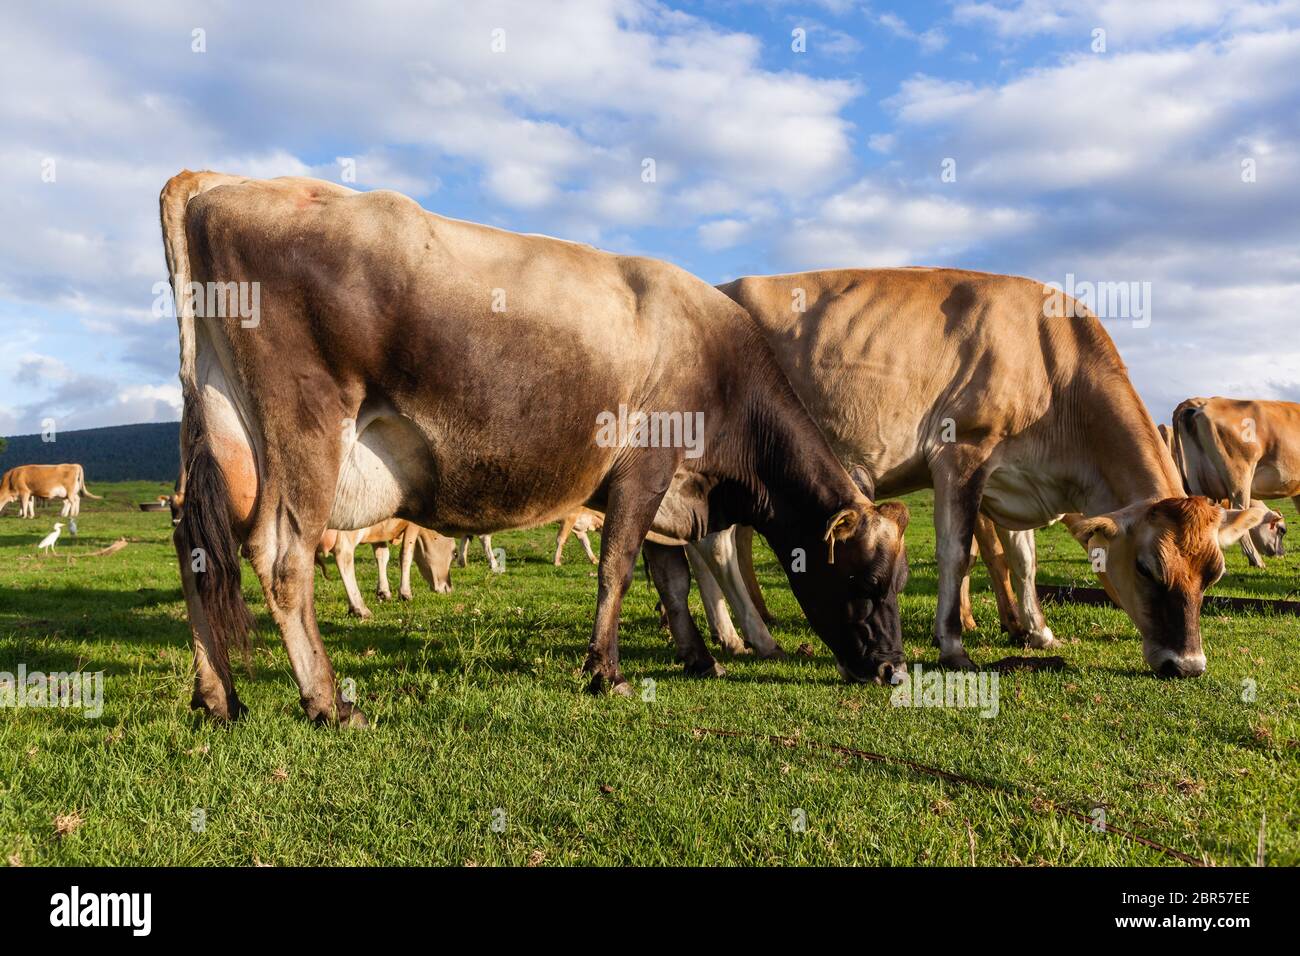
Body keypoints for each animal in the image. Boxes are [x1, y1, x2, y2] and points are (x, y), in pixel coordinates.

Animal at [317, 519, 455, 618]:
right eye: (455, 553)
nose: (448, 588)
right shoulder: (412, 524)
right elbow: (406, 554)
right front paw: (405, 594)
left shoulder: (379, 530)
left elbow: (382, 555)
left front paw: (383, 592)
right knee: (344, 555)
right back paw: (360, 609)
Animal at [696, 268, 1268, 678]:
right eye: (1147, 569)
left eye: (1214, 574)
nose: (1187, 666)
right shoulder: (962, 452)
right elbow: (956, 553)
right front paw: (953, 644)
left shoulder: (1014, 481)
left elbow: (1024, 560)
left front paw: (1039, 633)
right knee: (717, 546)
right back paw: (754, 637)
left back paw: (732, 634)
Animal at [1169, 397, 1298, 567]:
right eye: (1282, 530)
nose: (1281, 554)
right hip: (1240, 477)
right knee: (1240, 509)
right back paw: (1256, 560)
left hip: (1197, 480)